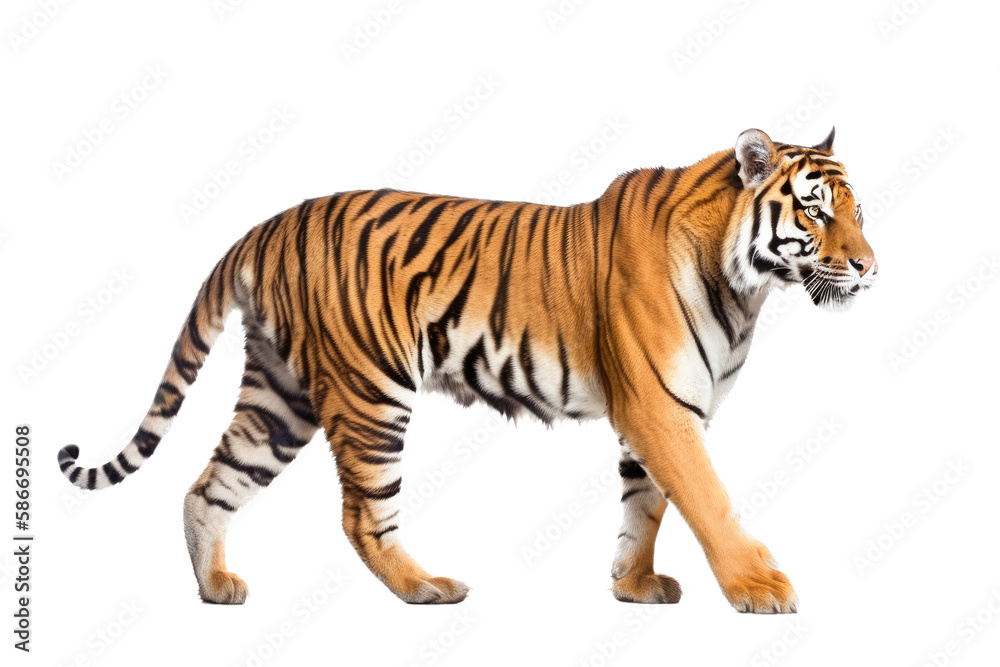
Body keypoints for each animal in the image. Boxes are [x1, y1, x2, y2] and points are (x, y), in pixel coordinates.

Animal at [58, 127, 876, 613]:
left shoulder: (660, 412)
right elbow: (707, 500)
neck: (746, 285)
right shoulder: (660, 408)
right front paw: (758, 586)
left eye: (858, 210)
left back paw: (214, 587)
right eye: (814, 211)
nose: (870, 266)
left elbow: (646, 505)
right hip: (370, 391)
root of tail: (268, 224)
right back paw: (424, 585)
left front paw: (634, 584)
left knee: (210, 484)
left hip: (278, 397)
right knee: (361, 514)